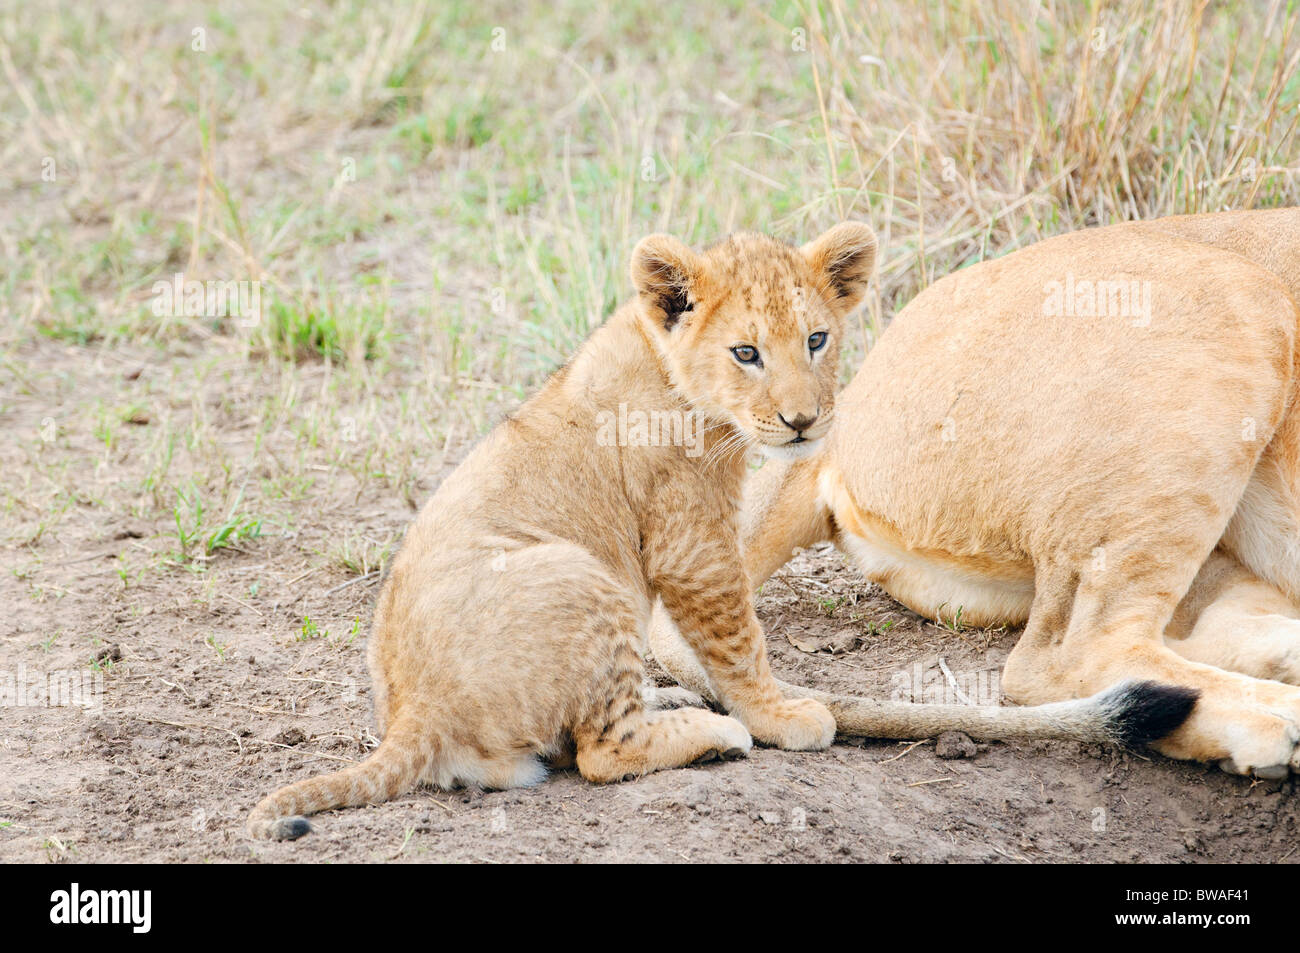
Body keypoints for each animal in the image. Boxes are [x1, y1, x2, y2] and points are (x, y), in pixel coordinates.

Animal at [249, 222, 1194, 839]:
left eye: (816, 338)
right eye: (746, 352)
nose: (805, 421)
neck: (669, 367)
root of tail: (410, 718)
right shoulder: (691, 541)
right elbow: (740, 636)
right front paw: (779, 715)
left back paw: (671, 702)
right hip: (576, 571)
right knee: (602, 751)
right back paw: (712, 735)